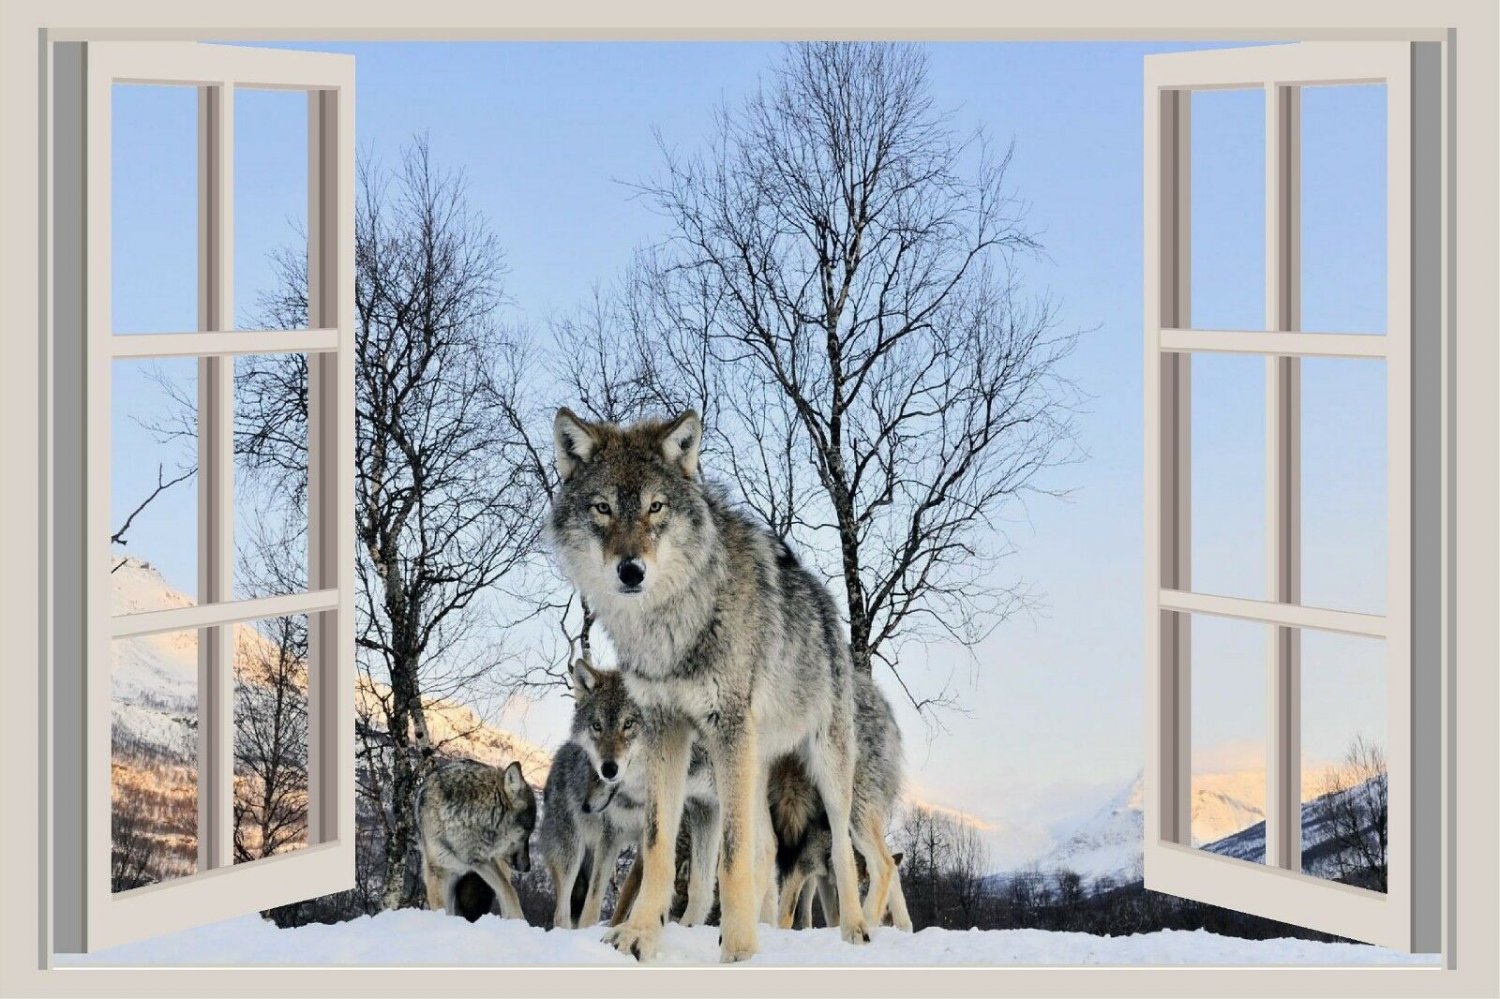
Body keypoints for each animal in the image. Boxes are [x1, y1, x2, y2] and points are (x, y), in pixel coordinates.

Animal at [415, 758, 536, 921]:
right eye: (526, 833)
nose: (528, 867)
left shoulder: (483, 861)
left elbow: (509, 893)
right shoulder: (438, 872)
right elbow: (442, 909)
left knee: (505, 890)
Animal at [538, 658, 720, 930]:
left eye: (628, 724)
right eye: (597, 726)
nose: (585, 806)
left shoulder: (647, 846)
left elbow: (626, 899)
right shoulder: (611, 836)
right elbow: (594, 900)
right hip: (570, 853)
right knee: (561, 911)